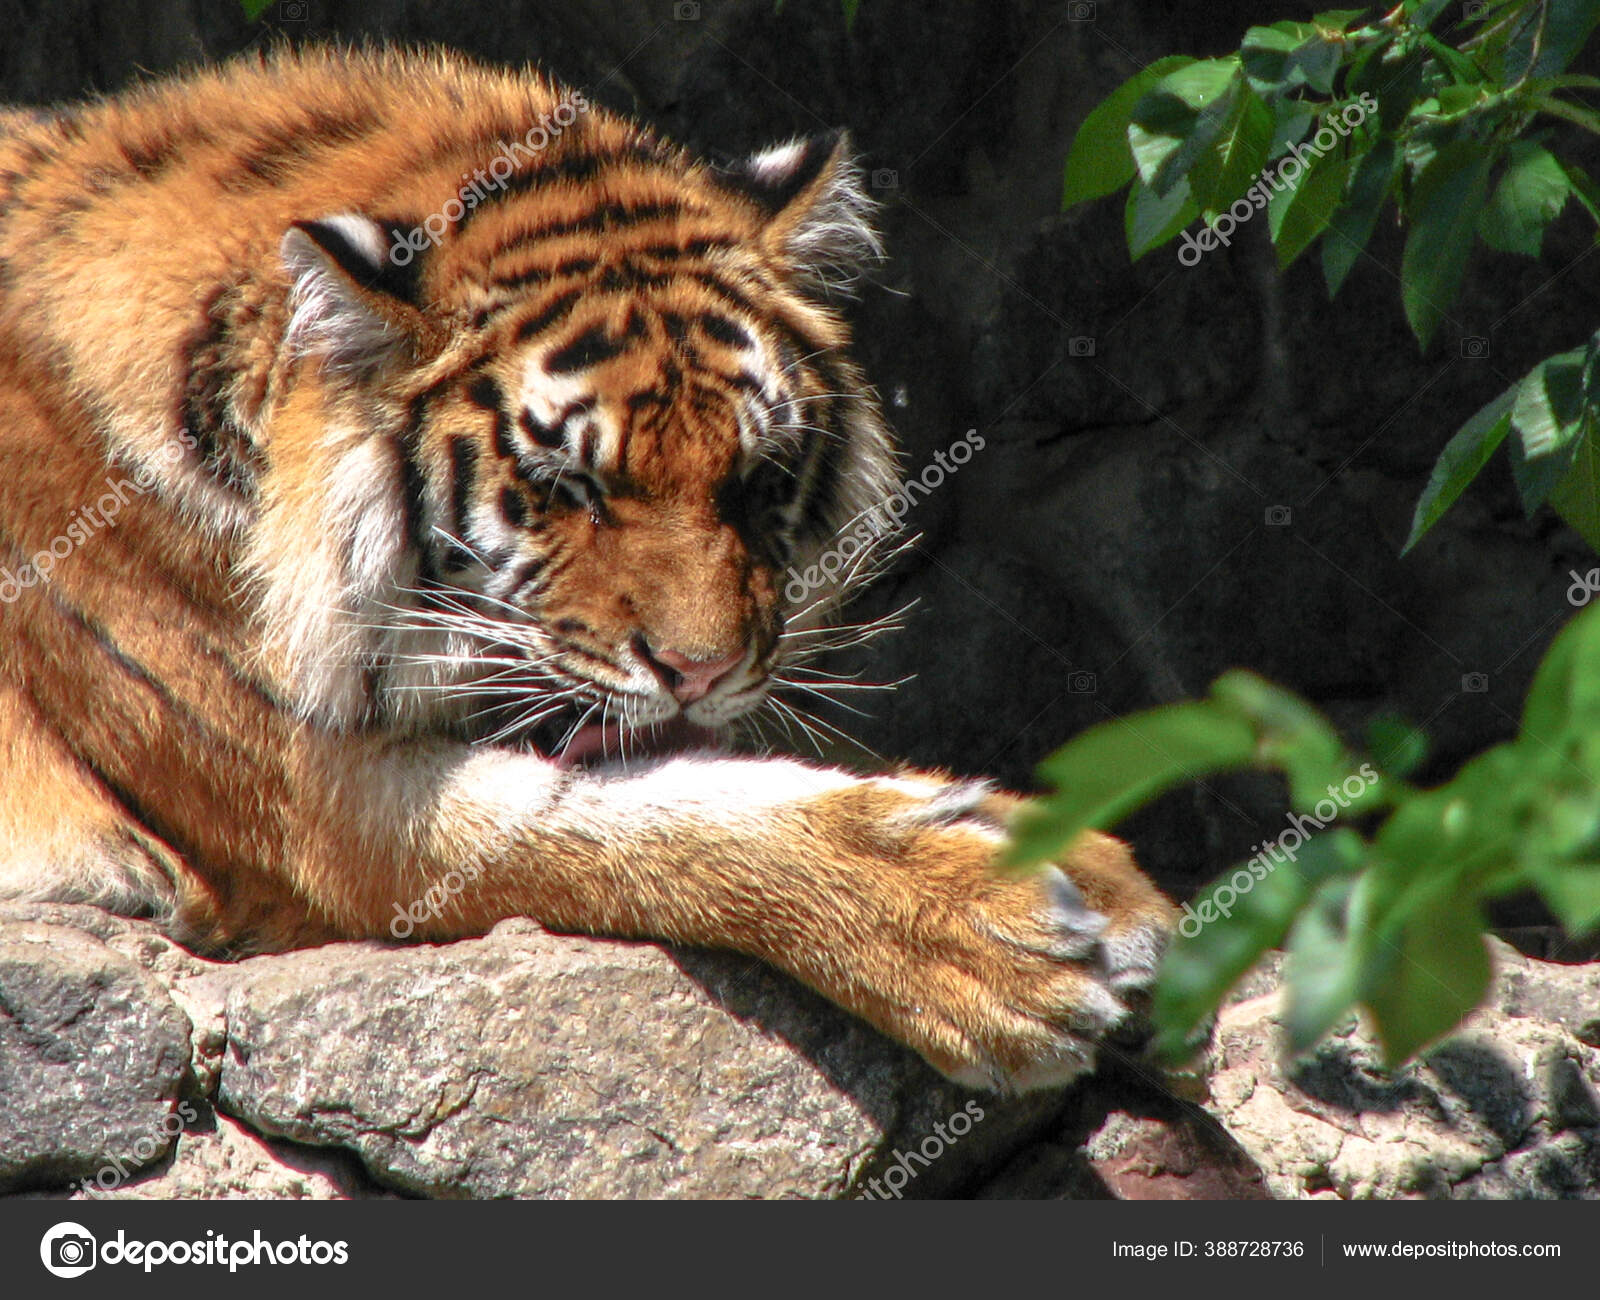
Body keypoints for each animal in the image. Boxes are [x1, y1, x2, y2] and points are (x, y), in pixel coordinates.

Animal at [0, 46, 1173, 1092]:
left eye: (758, 479)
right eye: (569, 485)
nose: (702, 670)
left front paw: (1096, 874)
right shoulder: (312, 798)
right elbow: (635, 821)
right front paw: (987, 940)